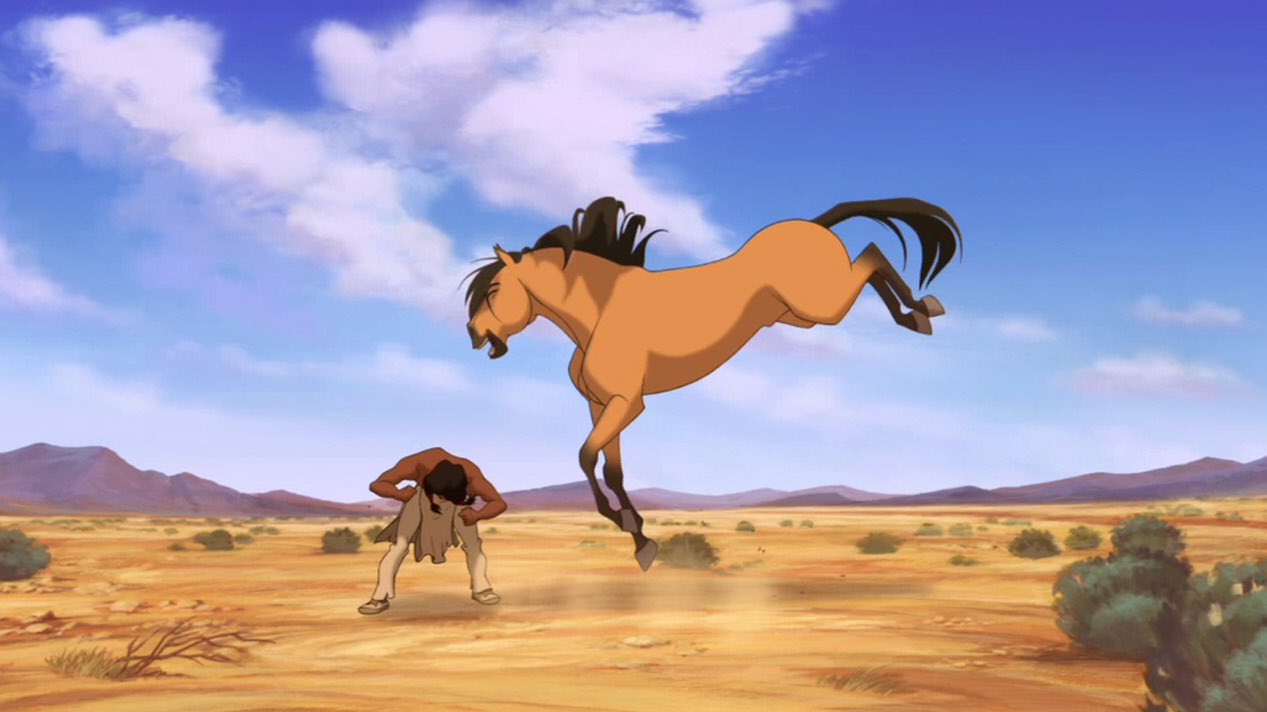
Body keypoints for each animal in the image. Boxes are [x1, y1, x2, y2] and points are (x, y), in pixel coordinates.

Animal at [463, 197, 962, 570]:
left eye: (493, 290)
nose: (473, 334)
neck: (598, 315)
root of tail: (813, 224)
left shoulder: (627, 403)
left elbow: (589, 458)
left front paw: (636, 535)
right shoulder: (602, 405)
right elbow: (608, 467)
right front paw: (639, 537)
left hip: (823, 306)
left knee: (874, 253)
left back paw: (922, 312)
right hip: (801, 317)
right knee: (871, 261)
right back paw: (918, 313)